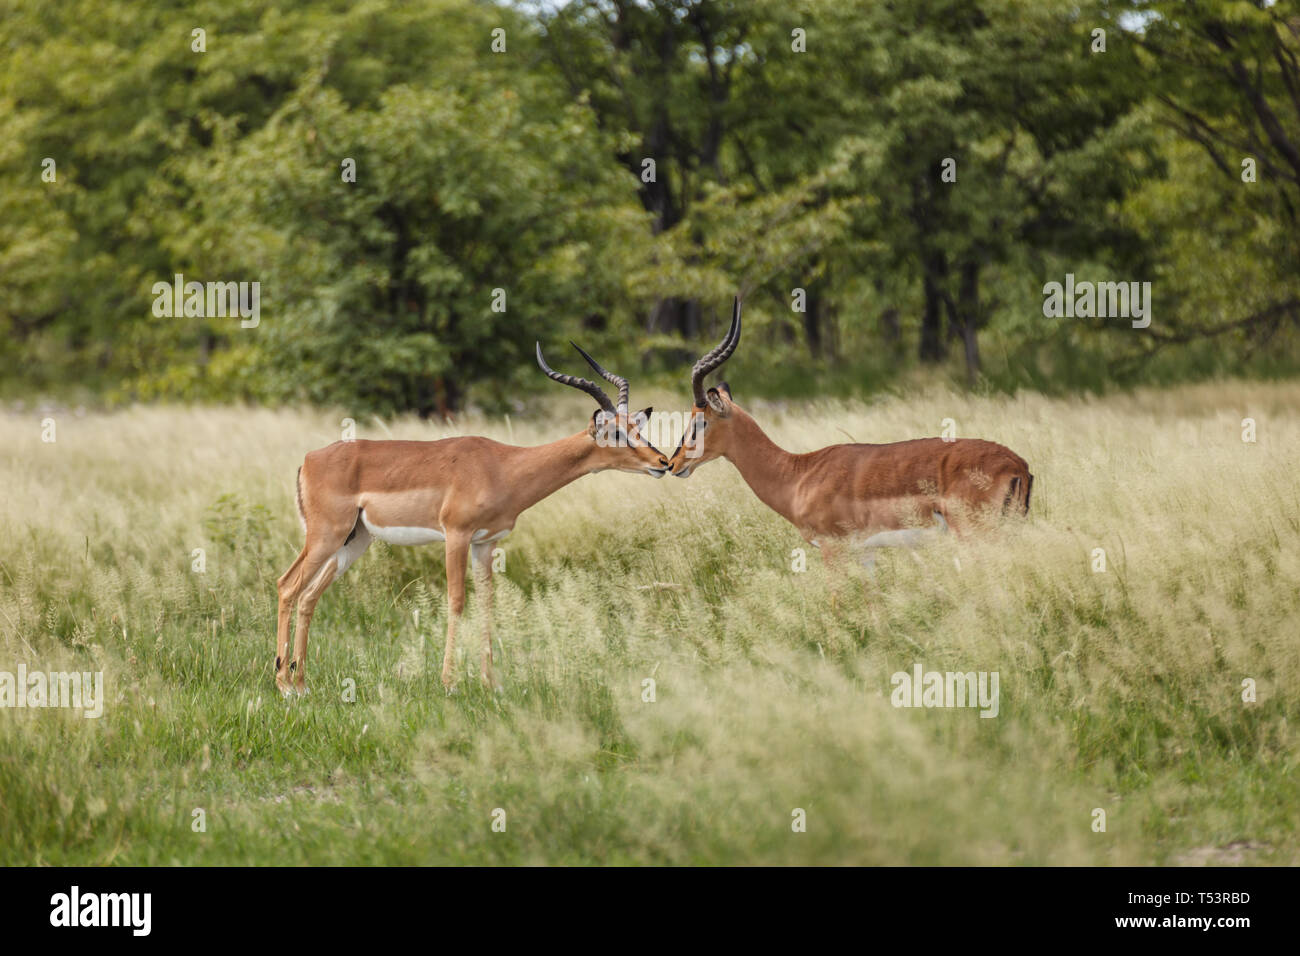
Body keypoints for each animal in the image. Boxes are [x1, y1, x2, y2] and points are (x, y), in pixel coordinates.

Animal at [275, 344, 669, 696]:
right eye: (615, 432)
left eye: (637, 429)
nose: (663, 462)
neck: (503, 468)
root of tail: (308, 460)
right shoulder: (457, 535)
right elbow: (456, 601)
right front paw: (449, 683)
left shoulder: (485, 543)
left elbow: (487, 605)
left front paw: (491, 684)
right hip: (326, 535)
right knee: (287, 586)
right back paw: (284, 684)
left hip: (353, 541)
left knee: (308, 596)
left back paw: (302, 684)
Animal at [667, 297, 1033, 562]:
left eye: (699, 421)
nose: (673, 463)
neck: (798, 475)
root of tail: (1018, 465)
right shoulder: (865, 554)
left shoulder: (833, 551)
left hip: (976, 538)